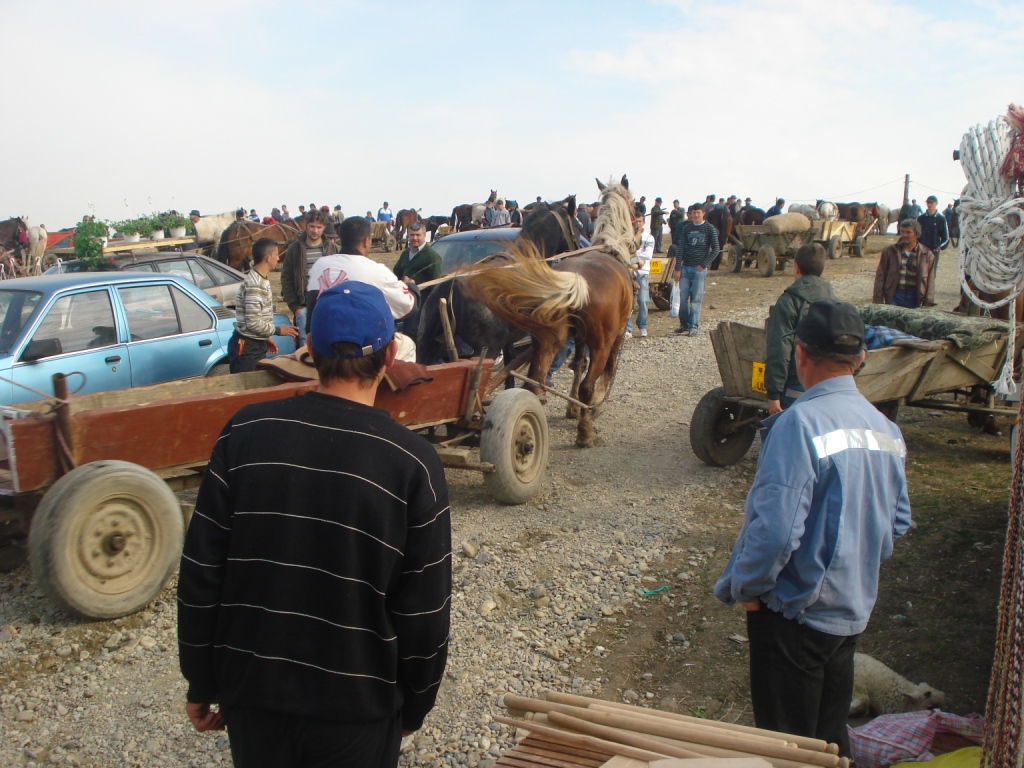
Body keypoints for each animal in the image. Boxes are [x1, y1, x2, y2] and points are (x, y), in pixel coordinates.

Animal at [466, 177, 638, 448]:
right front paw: (594, 408)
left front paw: (572, 408)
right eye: (634, 207)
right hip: (599, 342)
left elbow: (577, 363)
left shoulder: (577, 337)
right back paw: (584, 433)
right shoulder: (617, 334)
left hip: (547, 339)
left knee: (534, 382)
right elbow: (606, 374)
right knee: (588, 384)